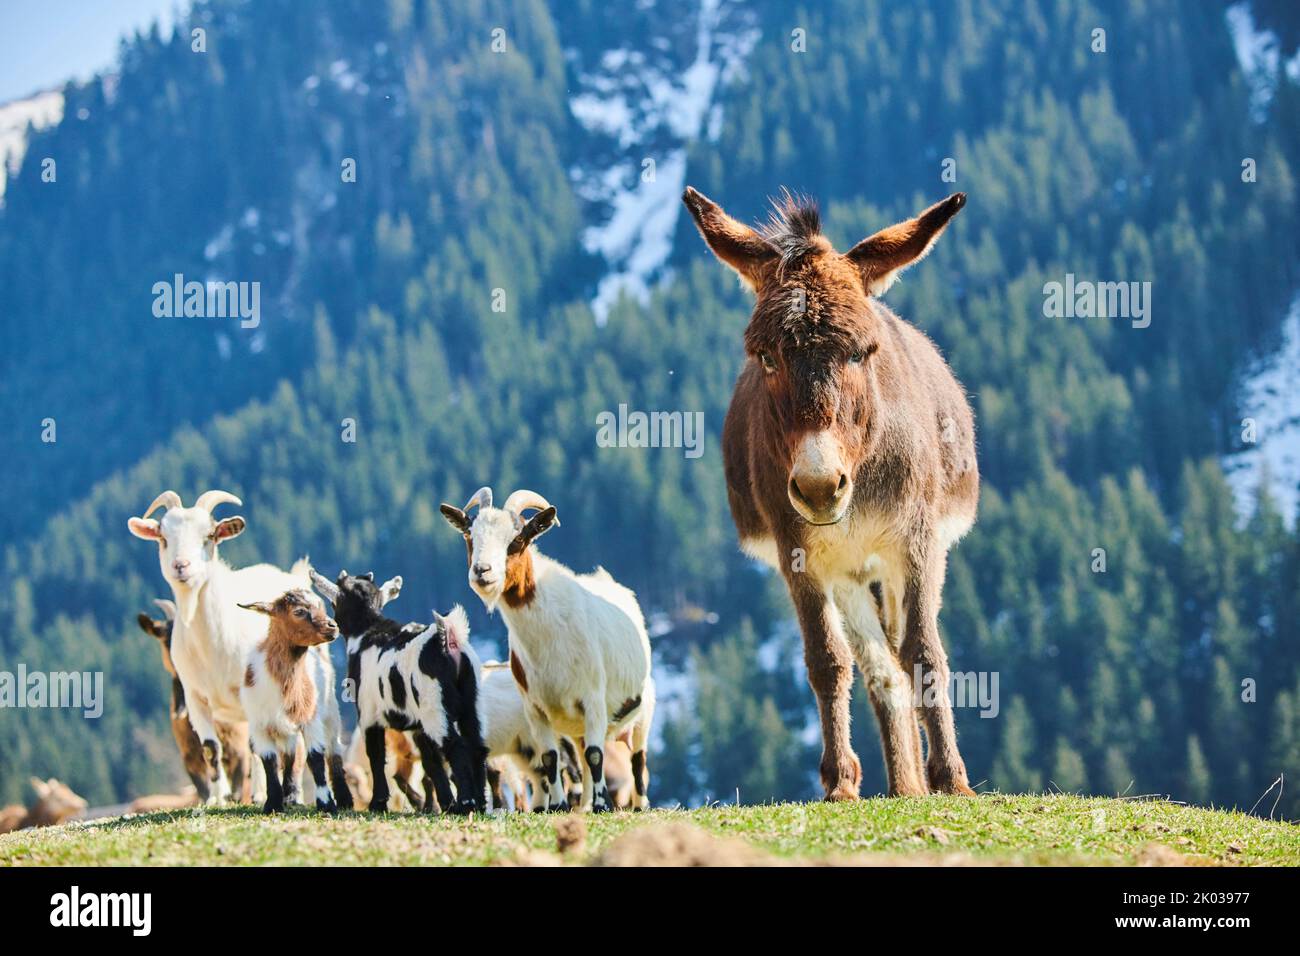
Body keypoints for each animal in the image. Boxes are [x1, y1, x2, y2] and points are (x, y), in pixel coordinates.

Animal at [236, 589, 352, 813]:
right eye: (298, 611)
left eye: (318, 605)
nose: (333, 626)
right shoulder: (260, 725)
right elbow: (269, 760)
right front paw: (273, 803)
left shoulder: (310, 718)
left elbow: (315, 757)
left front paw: (326, 804)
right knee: (289, 755)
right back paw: (289, 796)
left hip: (330, 713)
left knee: (333, 750)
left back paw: (344, 799)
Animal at [310, 569, 486, 814]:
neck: (368, 629)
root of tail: (448, 639)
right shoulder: (418, 726)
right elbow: (431, 761)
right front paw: (445, 803)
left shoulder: (368, 713)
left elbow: (376, 755)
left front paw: (377, 803)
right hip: (472, 702)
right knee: (476, 746)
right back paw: (480, 803)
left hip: (436, 709)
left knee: (457, 747)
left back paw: (467, 803)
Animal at [440, 487, 655, 812]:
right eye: (470, 536)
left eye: (517, 539)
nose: (482, 572)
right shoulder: (534, 708)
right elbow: (550, 758)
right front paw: (557, 805)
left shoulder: (593, 698)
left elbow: (596, 755)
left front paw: (603, 805)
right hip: (577, 726)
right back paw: (584, 805)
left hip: (642, 713)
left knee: (636, 758)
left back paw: (636, 805)